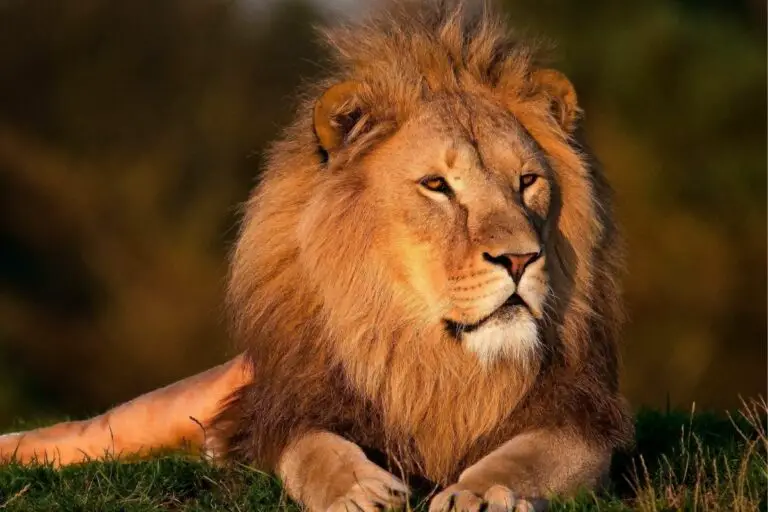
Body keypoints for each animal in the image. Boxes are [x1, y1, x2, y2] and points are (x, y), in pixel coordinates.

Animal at [0, 2, 633, 511]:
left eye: (527, 181)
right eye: (437, 186)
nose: (521, 260)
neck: (432, 358)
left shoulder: (578, 419)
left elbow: (528, 457)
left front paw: (482, 493)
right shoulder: (295, 409)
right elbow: (314, 451)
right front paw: (358, 490)